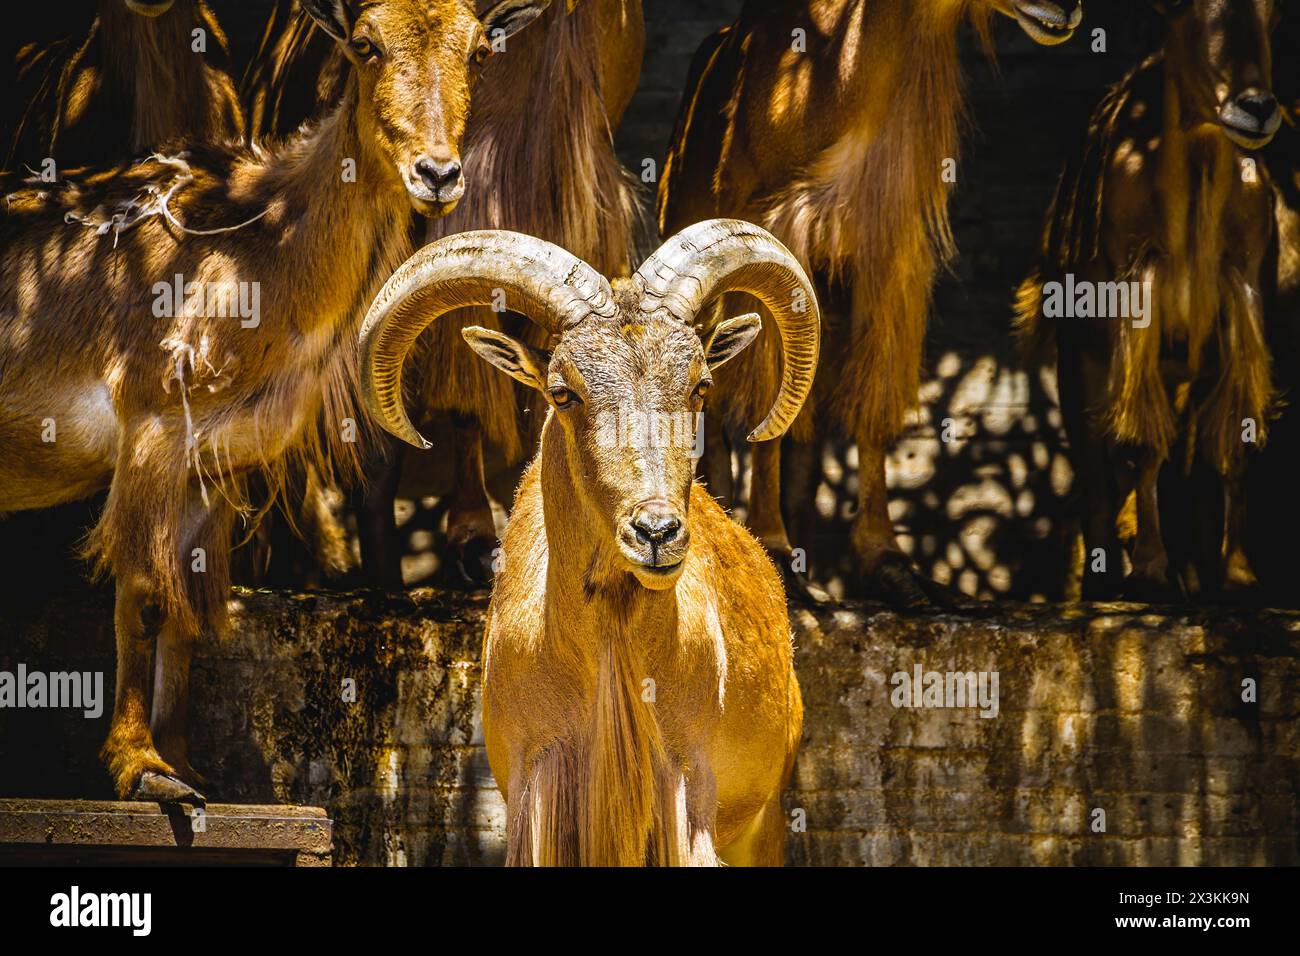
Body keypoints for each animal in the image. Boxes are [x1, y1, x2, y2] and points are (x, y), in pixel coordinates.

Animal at [0, 0, 550, 802]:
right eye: (364, 44)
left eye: (479, 49)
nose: (438, 173)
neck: (258, 246)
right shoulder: (152, 426)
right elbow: (145, 592)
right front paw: (143, 771)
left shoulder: (215, 465)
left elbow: (190, 613)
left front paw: (189, 767)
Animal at [357, 219, 819, 865]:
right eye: (563, 392)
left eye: (700, 386)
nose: (656, 533)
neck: (605, 653)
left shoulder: (688, 798)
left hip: (763, 817)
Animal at [658, 0, 1083, 607]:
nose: (1068, 10)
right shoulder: (777, 239)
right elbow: (768, 409)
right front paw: (775, 553)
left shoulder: (883, 257)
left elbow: (872, 406)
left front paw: (890, 563)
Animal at [1016, 0, 1282, 599]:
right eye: (1187, 13)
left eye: (1268, 12)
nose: (1257, 108)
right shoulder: (1134, 304)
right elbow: (1140, 445)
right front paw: (1152, 572)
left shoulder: (1241, 304)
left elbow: (1234, 441)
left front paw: (1239, 575)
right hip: (1081, 356)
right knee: (1094, 457)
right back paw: (1102, 576)